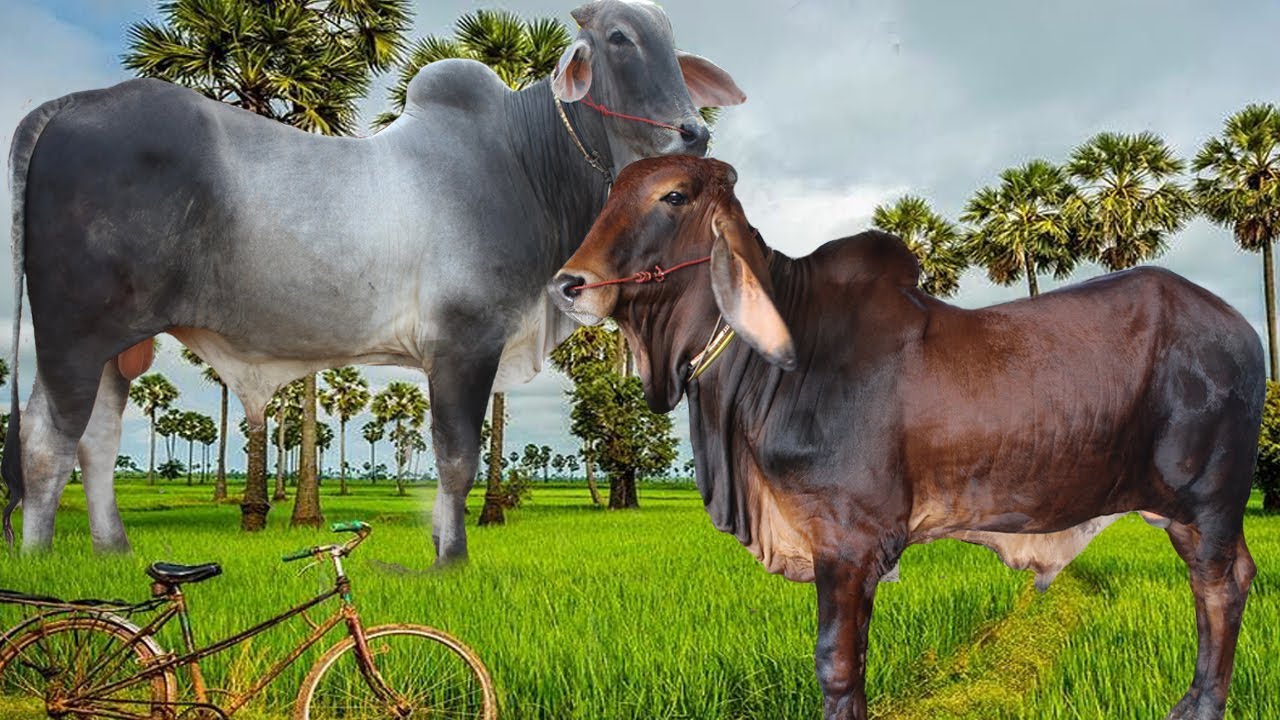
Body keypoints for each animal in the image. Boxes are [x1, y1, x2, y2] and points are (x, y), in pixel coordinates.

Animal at [2, 0, 746, 559]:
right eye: (619, 39)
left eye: (675, 48)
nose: (693, 134)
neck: (525, 160)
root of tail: (72, 103)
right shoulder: (465, 341)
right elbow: (457, 459)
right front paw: (452, 561)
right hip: (74, 330)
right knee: (47, 439)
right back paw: (41, 563)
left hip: (121, 343)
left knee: (96, 438)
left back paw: (114, 552)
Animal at [548, 155, 1263, 720]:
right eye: (609, 193)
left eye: (673, 195)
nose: (567, 284)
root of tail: (1241, 325)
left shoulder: (849, 542)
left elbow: (837, 667)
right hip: (1187, 512)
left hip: (1209, 501)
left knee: (1220, 589)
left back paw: (1203, 707)